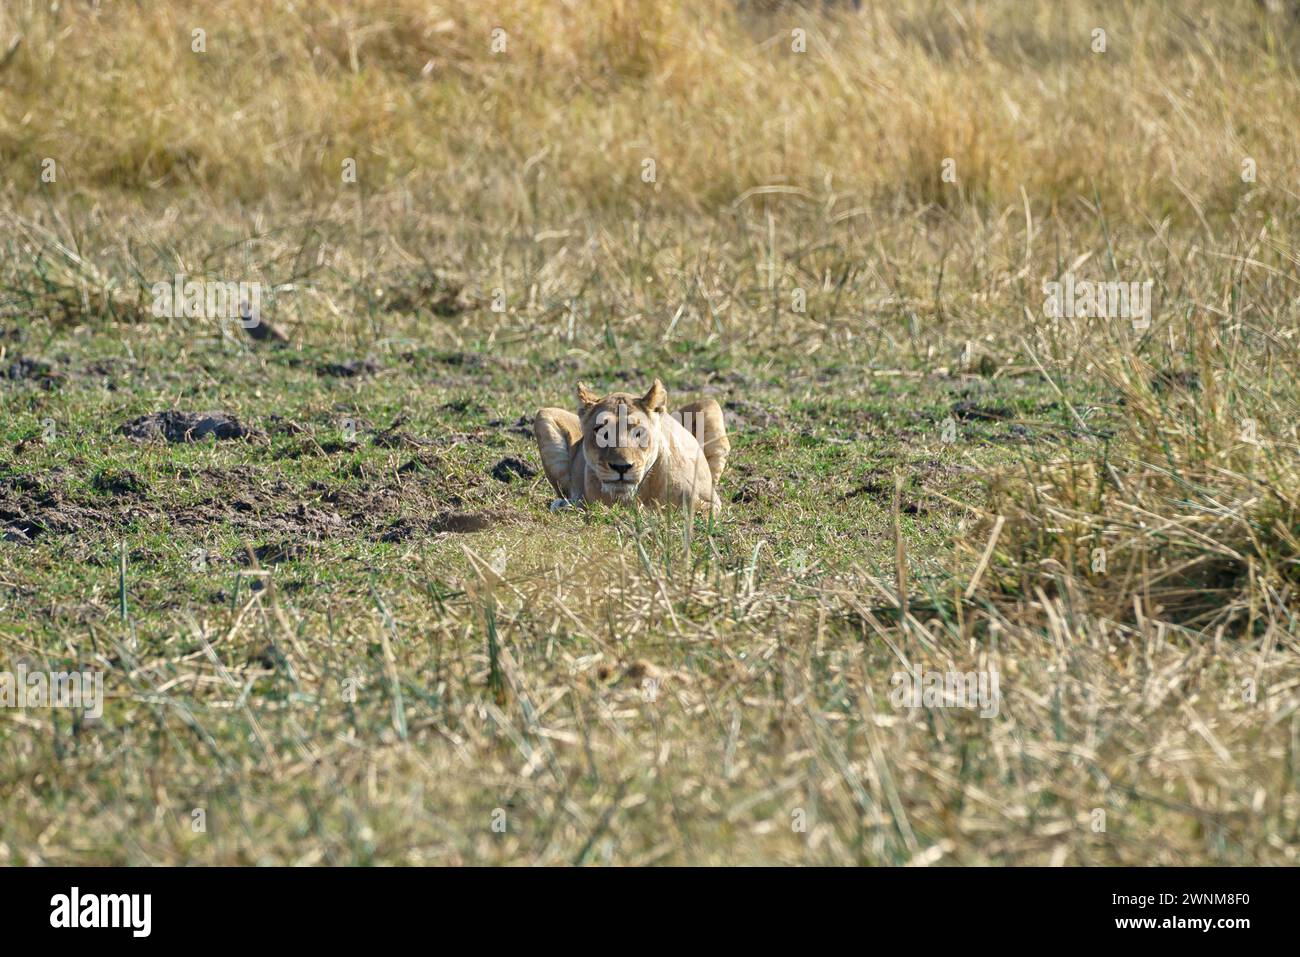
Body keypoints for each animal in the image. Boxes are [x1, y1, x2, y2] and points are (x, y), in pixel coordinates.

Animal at [533, 379, 729, 515]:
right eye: (601, 431)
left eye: (639, 432)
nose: (621, 467)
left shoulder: (712, 504)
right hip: (543, 414)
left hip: (710, 405)